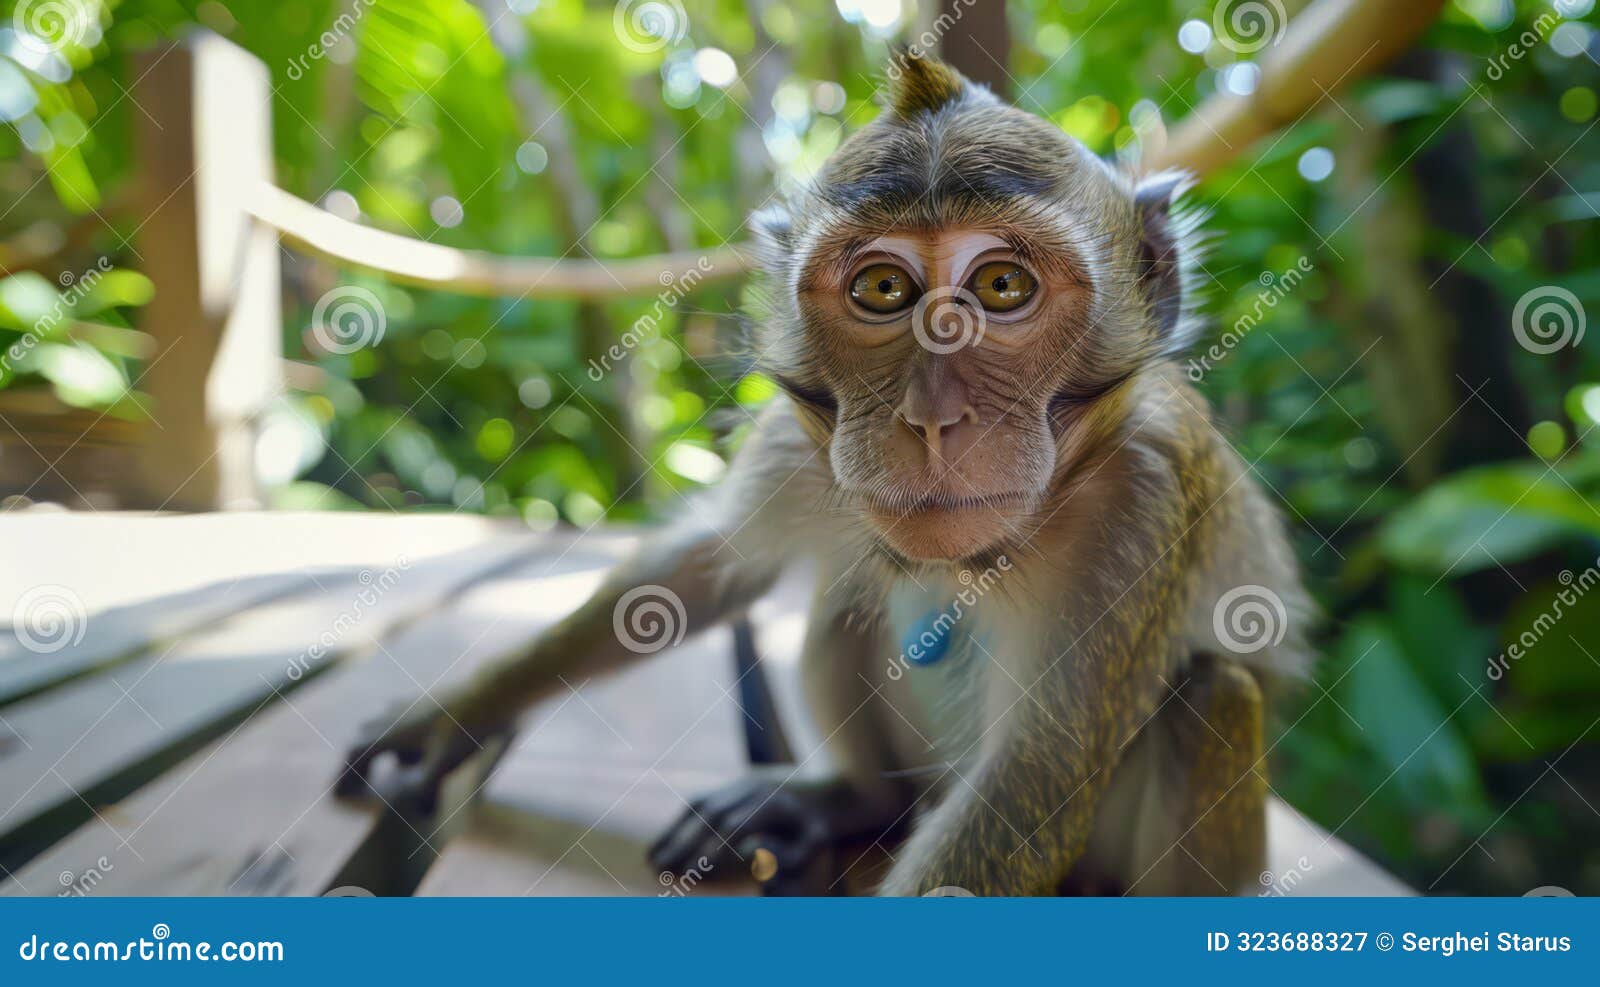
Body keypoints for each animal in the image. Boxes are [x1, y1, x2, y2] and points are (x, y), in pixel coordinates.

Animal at [340, 51, 1313, 897]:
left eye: (1002, 286)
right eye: (882, 290)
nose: (931, 417)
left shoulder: (1147, 498)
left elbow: (1039, 770)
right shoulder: (797, 442)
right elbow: (696, 574)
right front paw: (449, 718)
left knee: (1212, 695)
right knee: (851, 590)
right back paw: (848, 802)